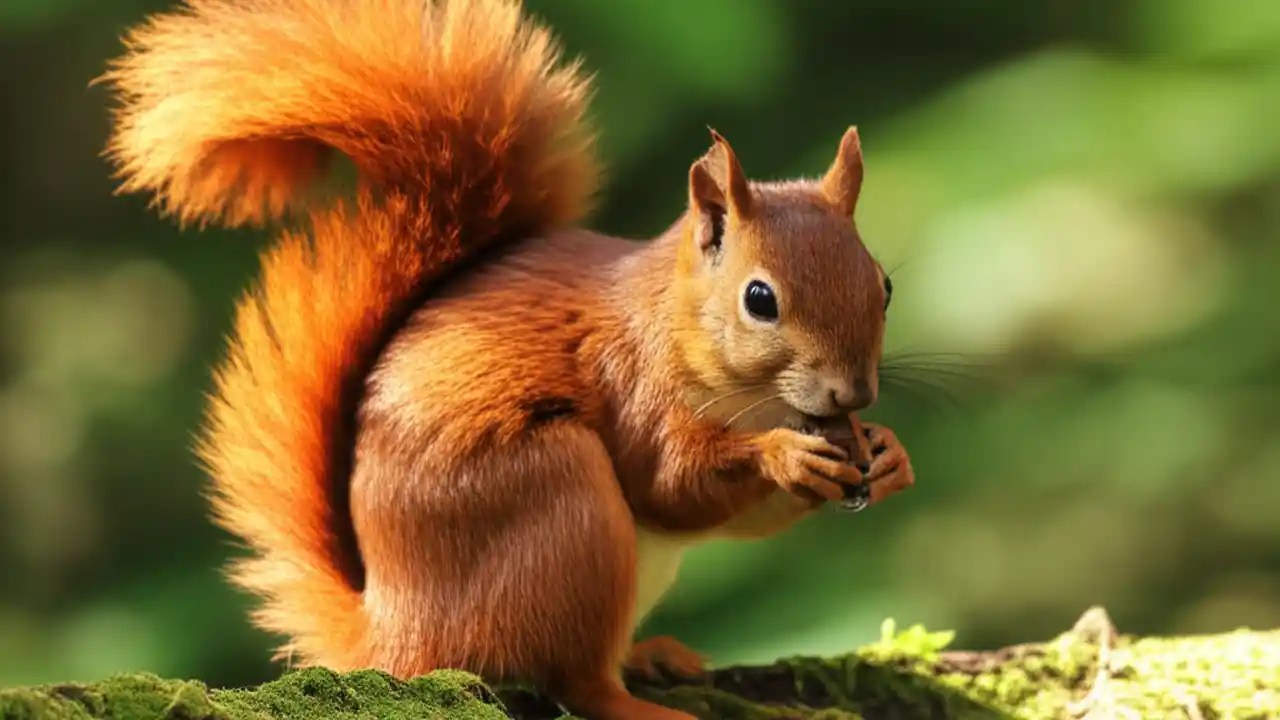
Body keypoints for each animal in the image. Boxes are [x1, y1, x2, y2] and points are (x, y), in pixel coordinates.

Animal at [101, 0, 915, 718]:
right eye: (759, 299)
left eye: (883, 283)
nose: (853, 394)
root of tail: (395, 637)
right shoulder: (632, 379)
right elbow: (671, 483)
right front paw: (785, 455)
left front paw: (889, 454)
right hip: (559, 507)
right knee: (576, 681)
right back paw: (641, 703)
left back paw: (654, 654)